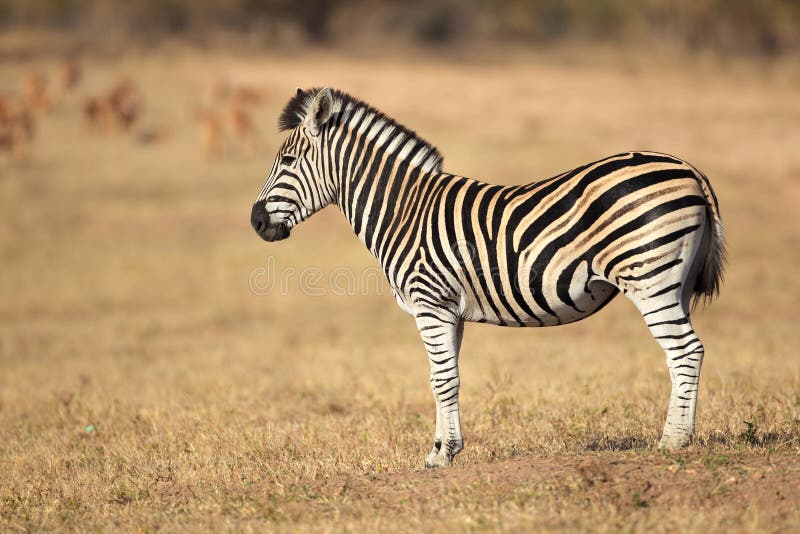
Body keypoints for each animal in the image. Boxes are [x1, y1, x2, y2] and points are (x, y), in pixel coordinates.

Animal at [250, 87, 726, 468]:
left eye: (287, 161)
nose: (255, 222)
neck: (404, 211)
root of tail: (688, 168)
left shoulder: (430, 304)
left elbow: (443, 379)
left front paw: (442, 456)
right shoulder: (449, 311)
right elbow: (443, 377)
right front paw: (442, 448)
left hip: (650, 279)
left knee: (686, 352)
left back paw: (673, 442)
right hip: (675, 284)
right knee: (685, 353)